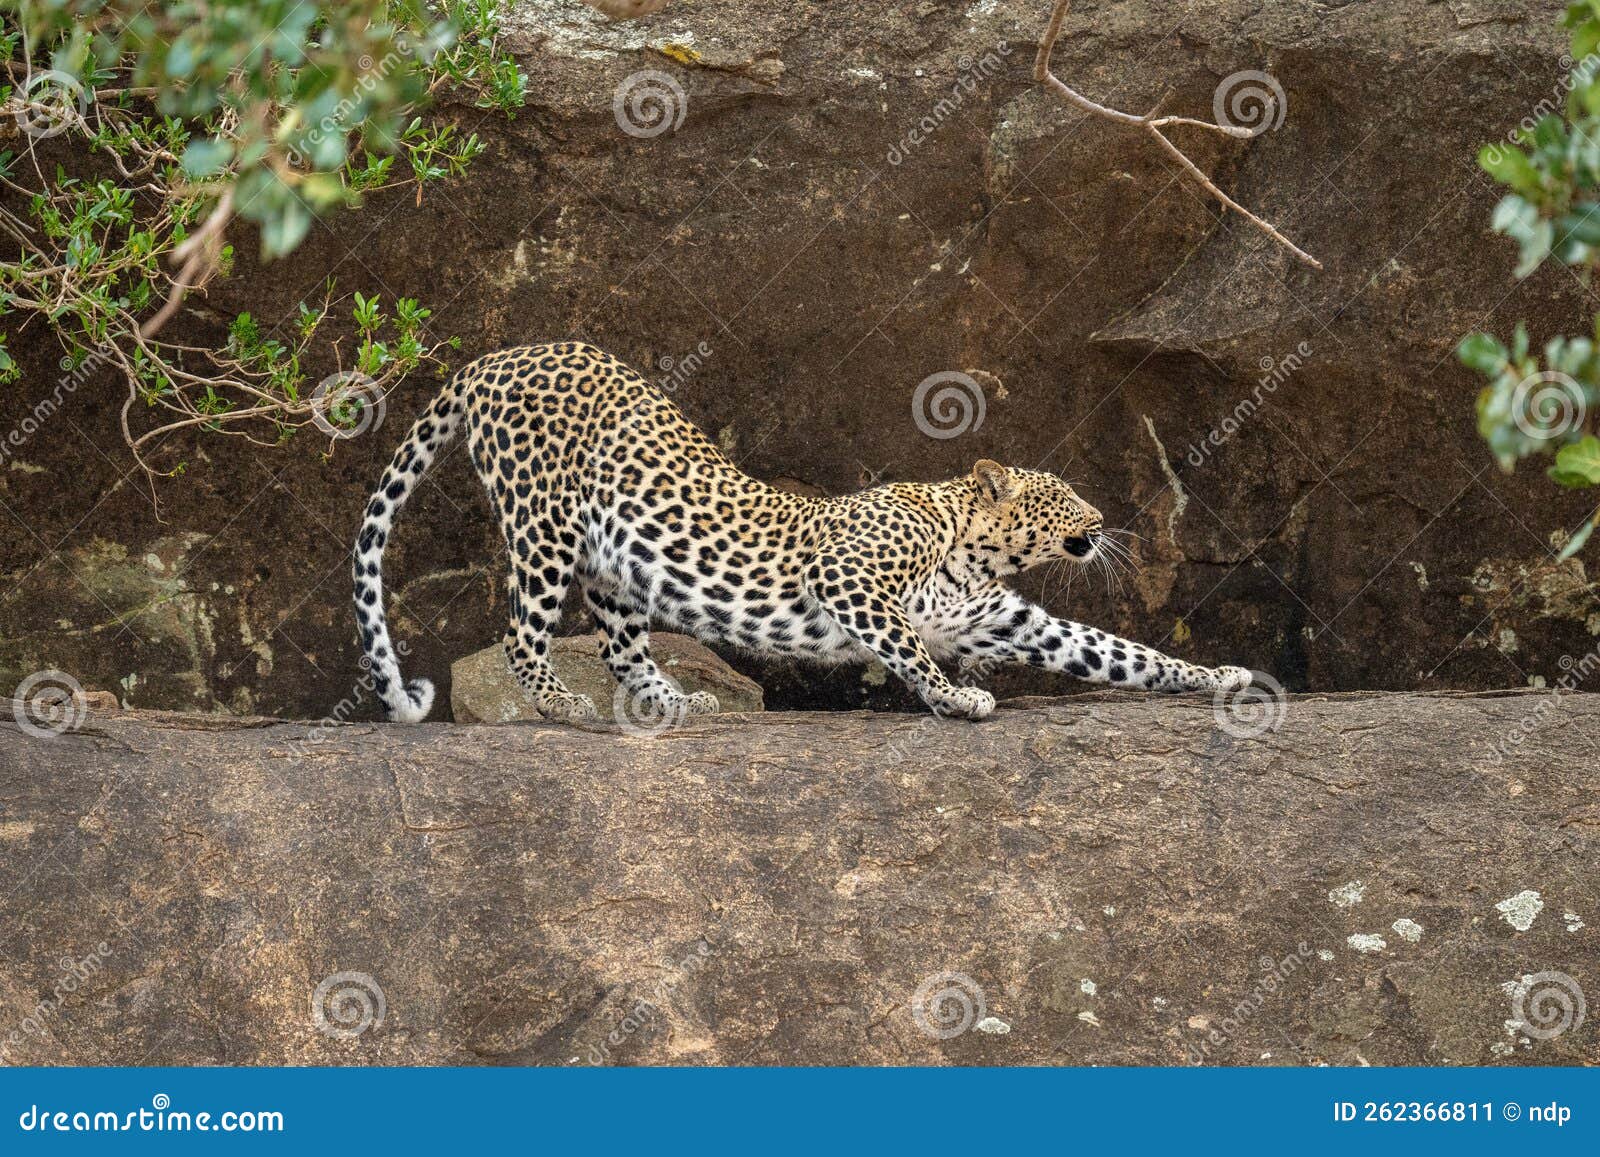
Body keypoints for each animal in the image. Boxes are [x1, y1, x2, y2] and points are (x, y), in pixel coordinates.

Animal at [352, 341, 1255, 724]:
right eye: (1059, 497)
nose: (1102, 524)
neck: (969, 549)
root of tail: (494, 357)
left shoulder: (1015, 622)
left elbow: (1121, 652)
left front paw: (1222, 675)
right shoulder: (852, 581)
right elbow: (908, 647)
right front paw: (957, 695)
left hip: (617, 565)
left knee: (620, 644)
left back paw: (676, 701)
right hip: (543, 526)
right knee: (522, 631)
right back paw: (558, 705)